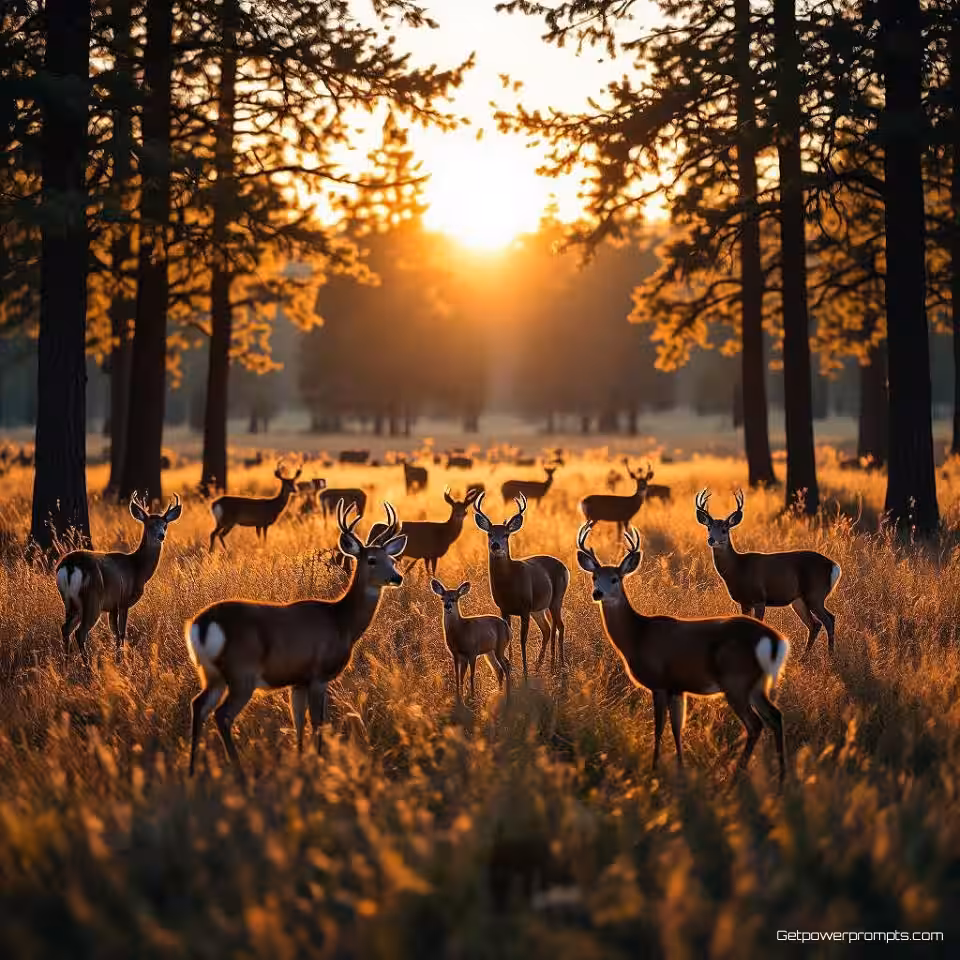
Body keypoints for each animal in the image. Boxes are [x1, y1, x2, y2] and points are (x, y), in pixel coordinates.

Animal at [56, 494, 182, 660]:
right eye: (149, 525)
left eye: (165, 525)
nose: (161, 536)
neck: (137, 569)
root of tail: (69, 566)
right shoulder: (123, 601)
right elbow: (122, 633)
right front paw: (121, 660)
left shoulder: (112, 605)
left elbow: (115, 632)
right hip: (92, 598)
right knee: (80, 632)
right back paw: (87, 663)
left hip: (70, 601)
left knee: (65, 628)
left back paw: (66, 660)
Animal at [186, 500, 407, 781]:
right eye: (371, 559)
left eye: (392, 559)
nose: (397, 577)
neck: (341, 622)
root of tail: (203, 623)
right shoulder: (318, 675)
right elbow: (319, 722)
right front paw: (319, 762)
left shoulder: (297, 681)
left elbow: (298, 721)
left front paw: (302, 759)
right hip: (241, 673)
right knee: (222, 715)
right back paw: (239, 771)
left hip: (212, 674)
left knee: (198, 705)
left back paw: (192, 769)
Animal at [473, 492, 569, 680]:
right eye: (489, 534)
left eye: (506, 534)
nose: (496, 545)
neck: (509, 585)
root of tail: (564, 567)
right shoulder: (504, 609)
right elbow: (509, 637)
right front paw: (511, 668)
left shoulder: (525, 607)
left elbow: (522, 639)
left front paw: (524, 673)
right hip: (539, 609)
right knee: (547, 629)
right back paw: (540, 665)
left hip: (556, 599)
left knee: (559, 626)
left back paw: (558, 665)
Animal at [576, 522, 789, 782]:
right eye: (595, 576)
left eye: (615, 579)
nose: (597, 593)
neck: (637, 635)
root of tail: (776, 640)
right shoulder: (677, 687)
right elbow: (678, 727)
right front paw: (680, 767)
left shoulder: (659, 682)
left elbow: (659, 728)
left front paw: (655, 769)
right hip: (757, 684)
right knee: (775, 717)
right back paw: (780, 777)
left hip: (737, 681)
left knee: (755, 724)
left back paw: (735, 776)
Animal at [695, 489, 841, 656]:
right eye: (708, 528)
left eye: (724, 530)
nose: (711, 540)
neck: (737, 569)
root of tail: (834, 566)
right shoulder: (744, 602)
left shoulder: (759, 598)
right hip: (799, 600)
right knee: (815, 624)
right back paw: (804, 657)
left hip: (815, 594)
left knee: (829, 619)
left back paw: (830, 655)